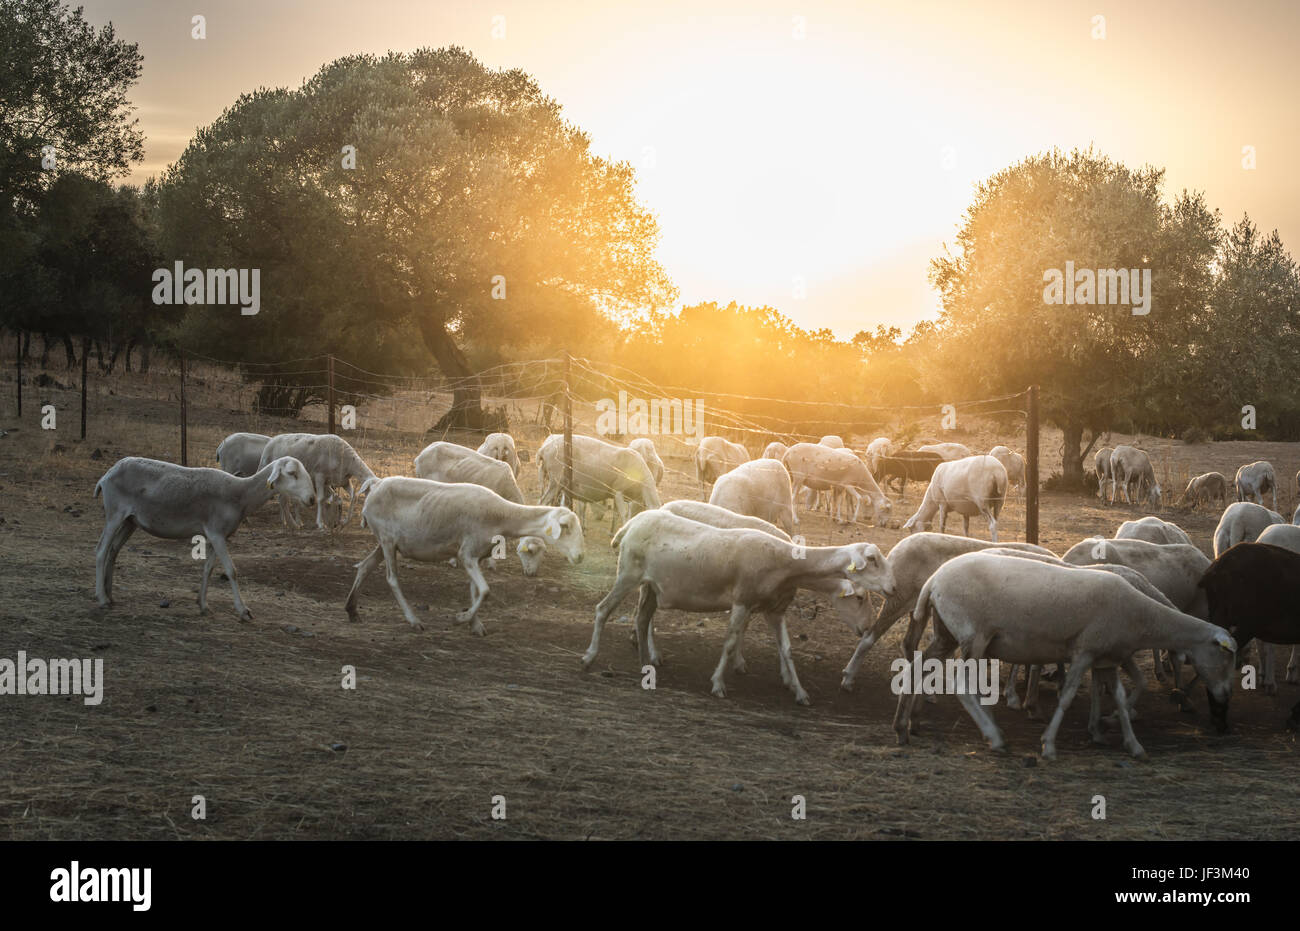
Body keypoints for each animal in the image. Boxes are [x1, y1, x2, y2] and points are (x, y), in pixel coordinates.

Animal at [94, 456, 316, 621]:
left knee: (113, 551)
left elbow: (208, 568)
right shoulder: (217, 533)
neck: (241, 494)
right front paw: (243, 610)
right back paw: (102, 598)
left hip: (130, 521)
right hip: (115, 512)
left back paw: (110, 594)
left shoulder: (217, 535)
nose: (312, 499)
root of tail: (107, 474)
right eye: (292, 473)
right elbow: (231, 571)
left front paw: (203, 605)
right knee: (102, 551)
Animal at [345, 477, 583, 635]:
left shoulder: (476, 557)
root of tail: (375, 485)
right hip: (387, 539)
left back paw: (352, 610)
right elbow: (485, 591)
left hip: (386, 543)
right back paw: (413, 620)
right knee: (392, 579)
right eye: (565, 527)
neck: (502, 516)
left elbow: (475, 591)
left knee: (365, 566)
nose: (580, 557)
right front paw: (461, 618)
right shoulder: (466, 553)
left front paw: (475, 624)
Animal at [581, 509, 895, 705]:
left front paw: (800, 692)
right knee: (603, 610)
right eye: (872, 560)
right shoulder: (743, 601)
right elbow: (731, 641)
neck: (785, 560)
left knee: (642, 618)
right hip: (628, 573)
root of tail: (632, 523)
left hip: (651, 585)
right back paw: (590, 657)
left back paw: (645, 664)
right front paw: (719, 684)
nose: (893, 588)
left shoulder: (773, 609)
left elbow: (787, 649)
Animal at [839, 533, 1054, 691]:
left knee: (909, 643)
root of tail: (895, 551)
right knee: (869, 637)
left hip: (917, 607)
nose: (1049, 675)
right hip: (897, 597)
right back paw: (848, 679)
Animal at [896, 552, 1237, 758]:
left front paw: (1132, 743)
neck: (1140, 615)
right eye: (1225, 657)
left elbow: (1119, 697)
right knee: (960, 685)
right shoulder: (1085, 651)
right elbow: (1068, 695)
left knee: (918, 667)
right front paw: (1048, 744)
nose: (1224, 695)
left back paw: (904, 727)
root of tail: (934, 580)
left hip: (946, 633)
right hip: (973, 635)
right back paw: (994, 736)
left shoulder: (1107, 657)